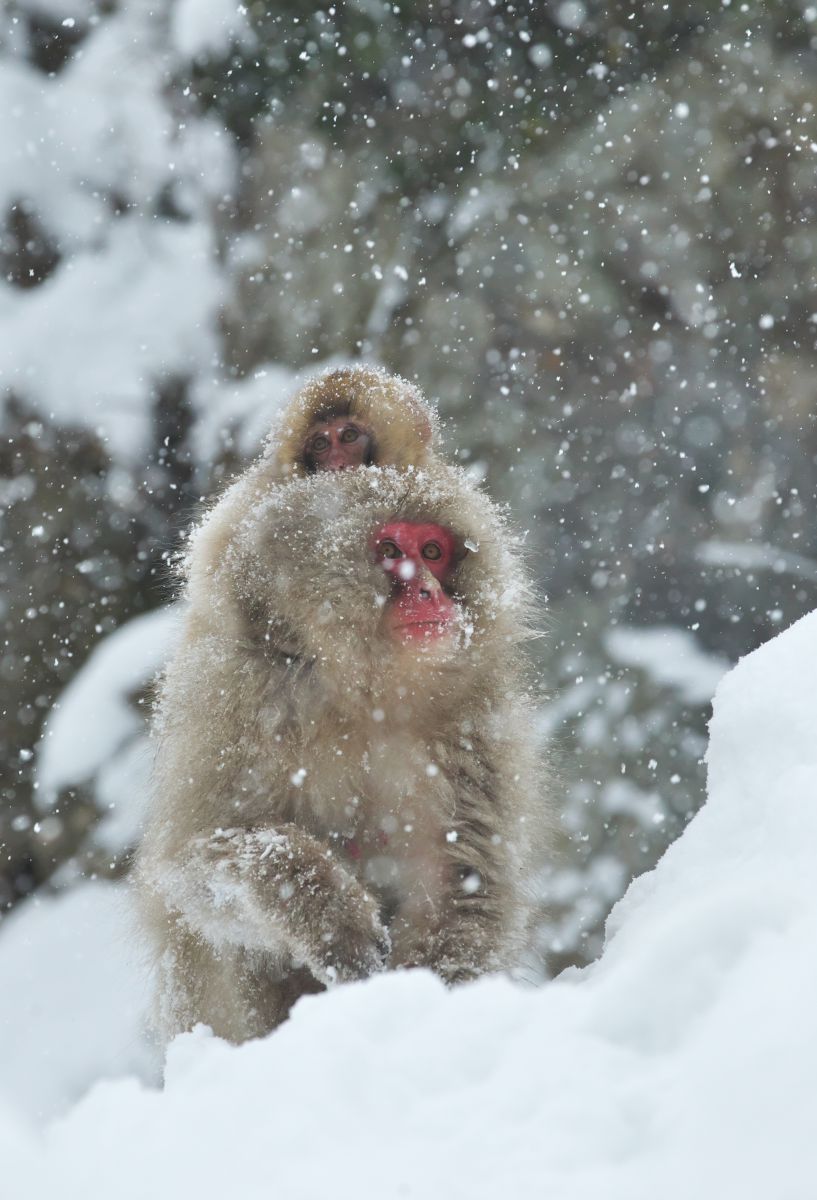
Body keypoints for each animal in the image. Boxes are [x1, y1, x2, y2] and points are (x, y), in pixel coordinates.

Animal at [136, 461, 551, 1045]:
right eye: (389, 551)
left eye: (432, 552)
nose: (429, 591)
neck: (365, 693)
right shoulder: (236, 707)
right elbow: (191, 865)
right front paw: (334, 920)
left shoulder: (476, 730)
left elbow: (463, 884)